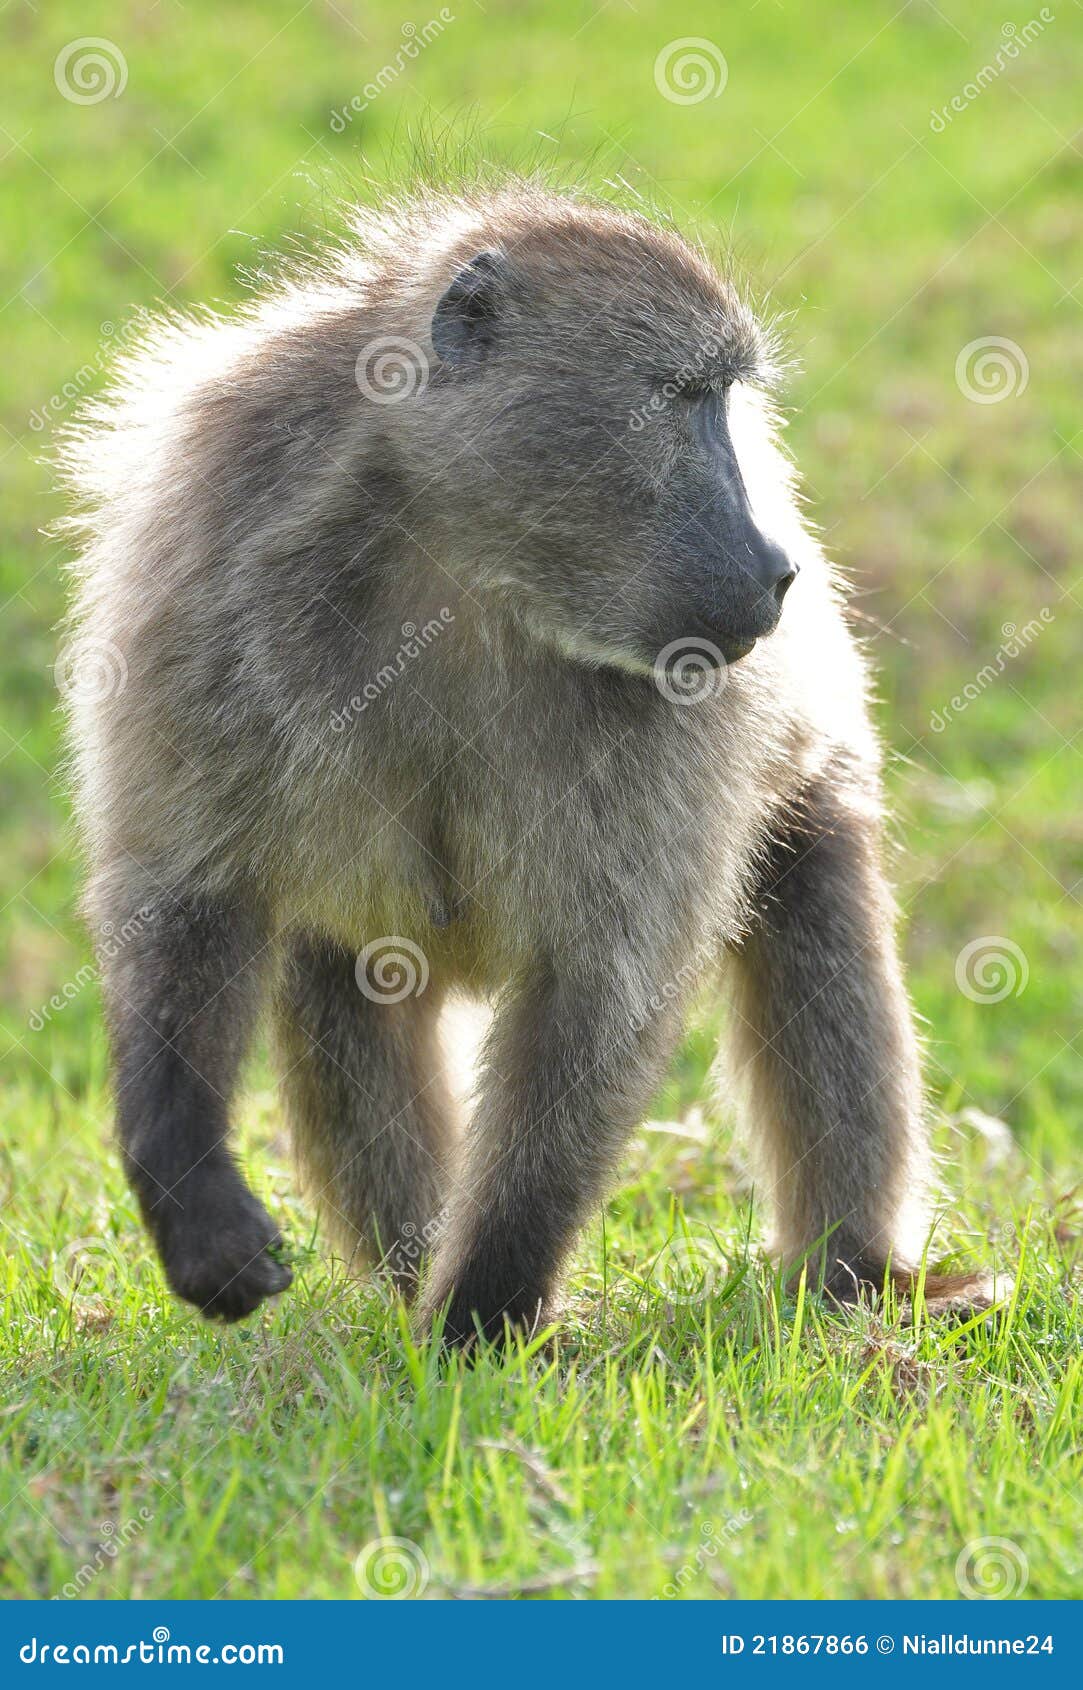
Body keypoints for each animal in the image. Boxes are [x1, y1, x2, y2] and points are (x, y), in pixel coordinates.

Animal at [58, 178, 995, 1343]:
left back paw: (855, 1278)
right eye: (683, 396)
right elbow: (187, 885)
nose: (781, 570)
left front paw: (485, 1319)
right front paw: (196, 1200)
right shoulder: (208, 559)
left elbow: (598, 988)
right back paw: (412, 1265)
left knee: (815, 921)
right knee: (345, 975)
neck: (463, 560)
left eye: (723, 400)